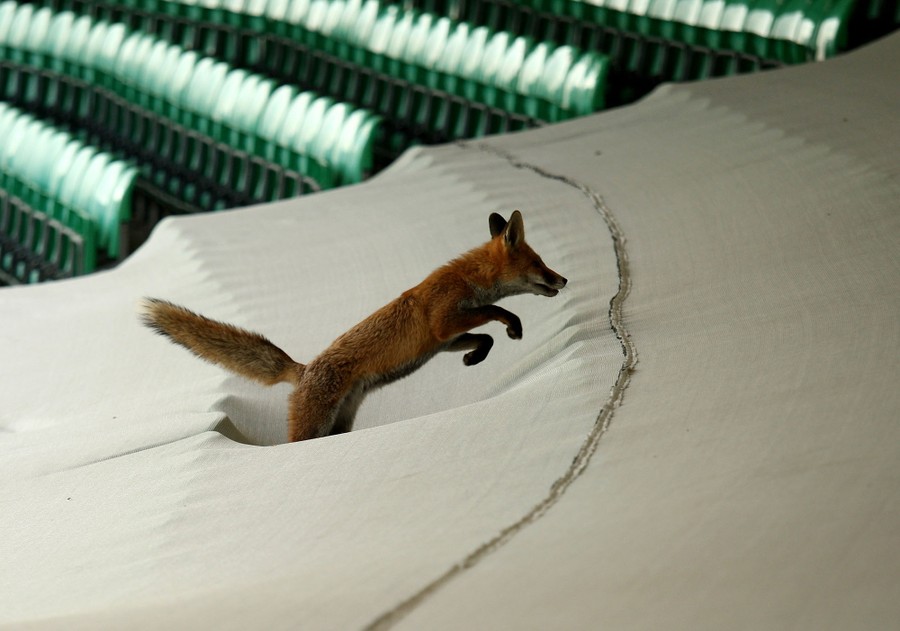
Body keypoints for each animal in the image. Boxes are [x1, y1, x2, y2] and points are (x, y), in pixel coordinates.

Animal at [141, 210, 567, 442]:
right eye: (540, 264)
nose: (563, 279)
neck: (466, 279)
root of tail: (302, 370)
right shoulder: (444, 321)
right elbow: (496, 311)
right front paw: (513, 326)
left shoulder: (444, 340)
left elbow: (482, 336)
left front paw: (475, 357)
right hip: (315, 427)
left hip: (340, 424)